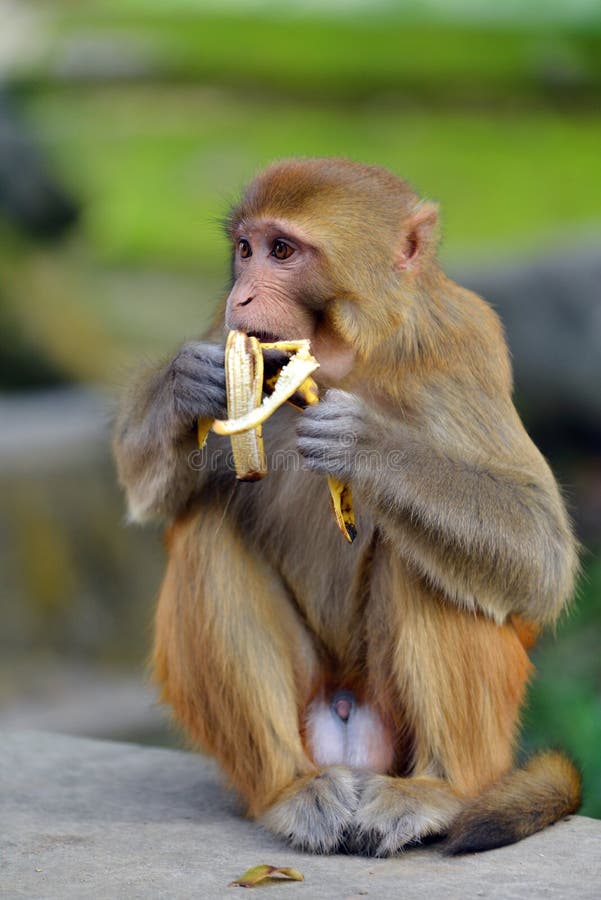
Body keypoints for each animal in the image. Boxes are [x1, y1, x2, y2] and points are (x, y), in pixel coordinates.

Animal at [114, 158, 581, 856]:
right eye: (245, 249)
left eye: (282, 251)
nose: (241, 298)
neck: (345, 358)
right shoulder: (226, 336)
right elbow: (147, 491)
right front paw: (184, 385)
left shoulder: (465, 345)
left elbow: (541, 558)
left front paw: (369, 447)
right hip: (307, 714)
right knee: (205, 532)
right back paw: (289, 787)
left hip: (426, 723)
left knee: (429, 564)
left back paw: (436, 790)